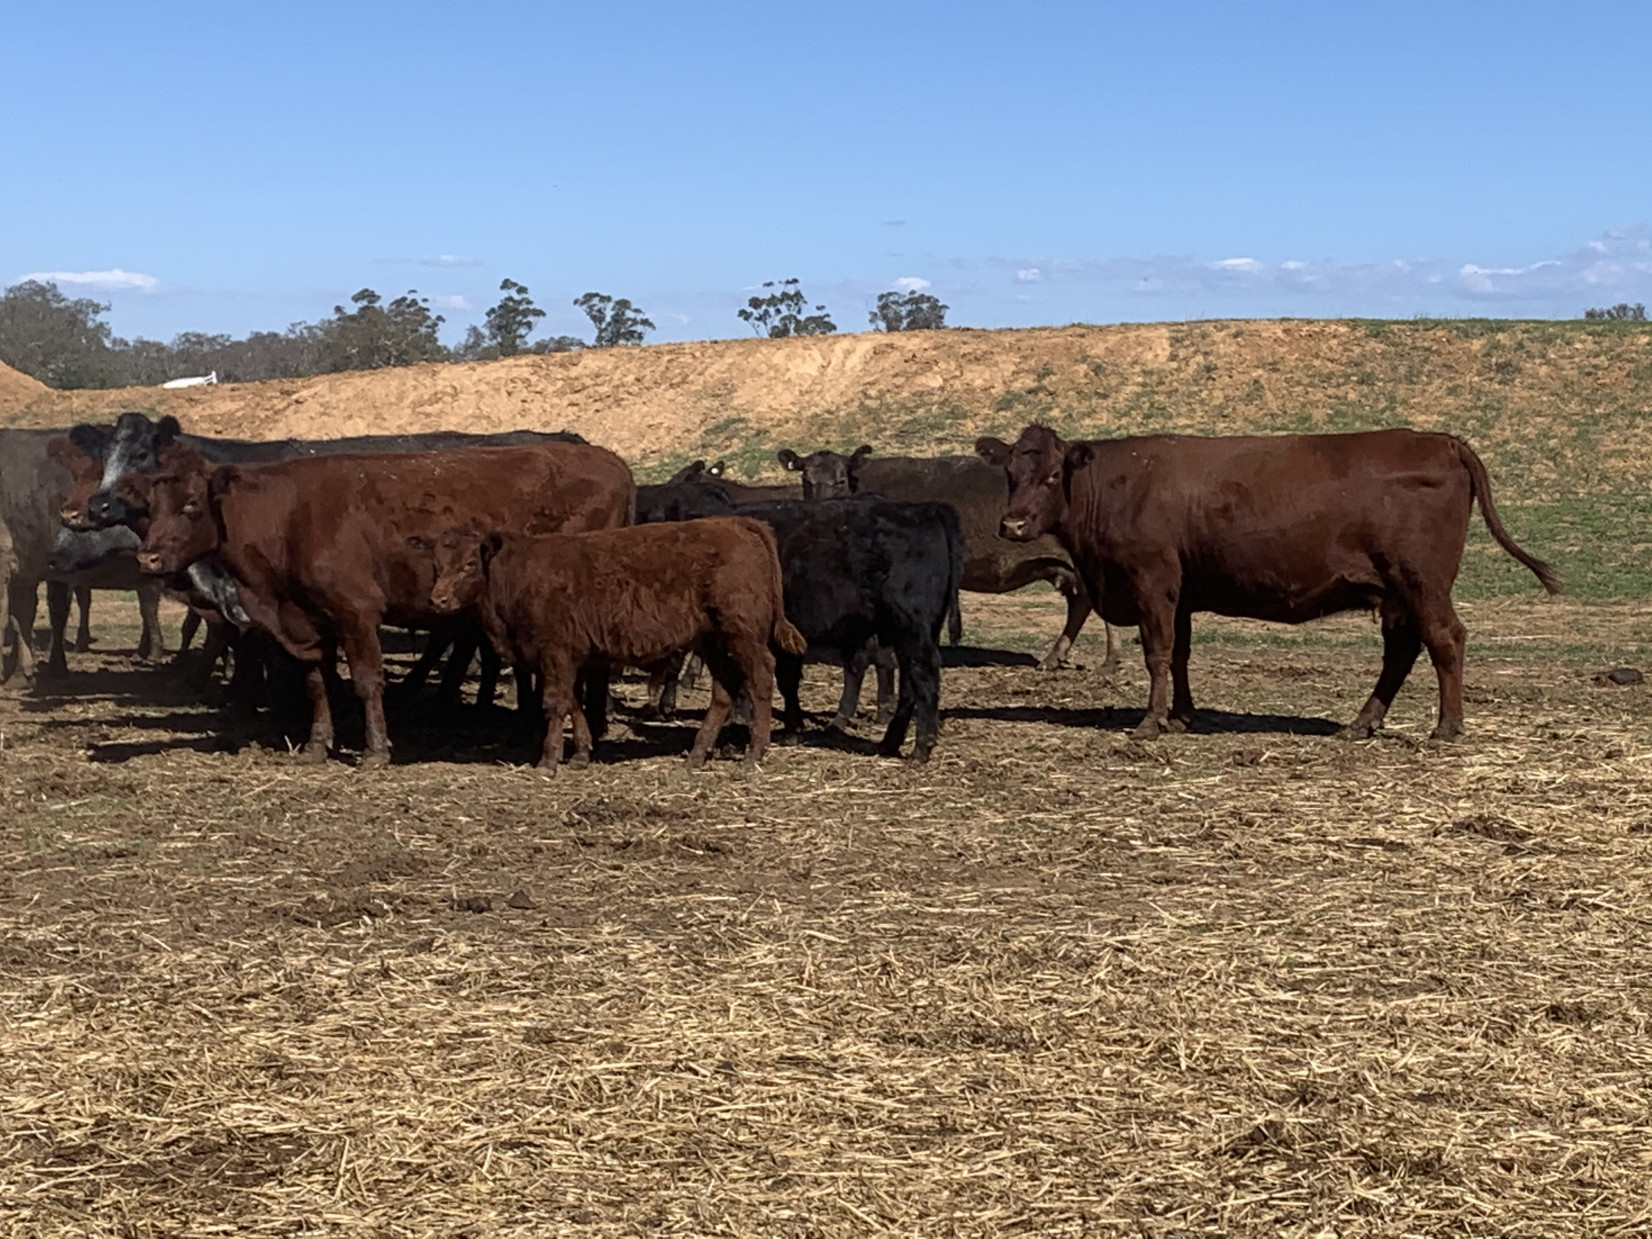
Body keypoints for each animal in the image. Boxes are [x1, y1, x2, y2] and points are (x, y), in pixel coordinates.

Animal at [122, 442, 635, 767]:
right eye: (150, 505)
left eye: (191, 504)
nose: (146, 557)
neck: (289, 518)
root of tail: (609, 459)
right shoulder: (311, 622)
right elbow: (317, 683)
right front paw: (317, 745)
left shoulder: (357, 612)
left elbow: (367, 682)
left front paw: (375, 750)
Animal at [422, 518, 807, 770]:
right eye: (437, 565)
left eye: (469, 564)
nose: (438, 600)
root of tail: (736, 522)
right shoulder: (566, 657)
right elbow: (573, 703)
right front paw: (580, 754)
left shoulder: (555, 652)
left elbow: (555, 704)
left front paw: (549, 759)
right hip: (713, 640)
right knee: (724, 691)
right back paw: (698, 754)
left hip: (742, 633)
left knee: (761, 677)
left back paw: (754, 753)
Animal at [978, 425, 1562, 741]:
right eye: (1010, 473)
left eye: (1053, 476)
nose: (1013, 525)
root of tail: (1440, 441)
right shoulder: (1183, 592)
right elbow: (1182, 654)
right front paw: (1184, 715)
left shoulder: (1153, 583)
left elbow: (1158, 653)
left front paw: (1151, 721)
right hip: (1396, 593)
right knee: (1401, 652)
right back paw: (1362, 723)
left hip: (1422, 583)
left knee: (1445, 640)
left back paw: (1446, 727)